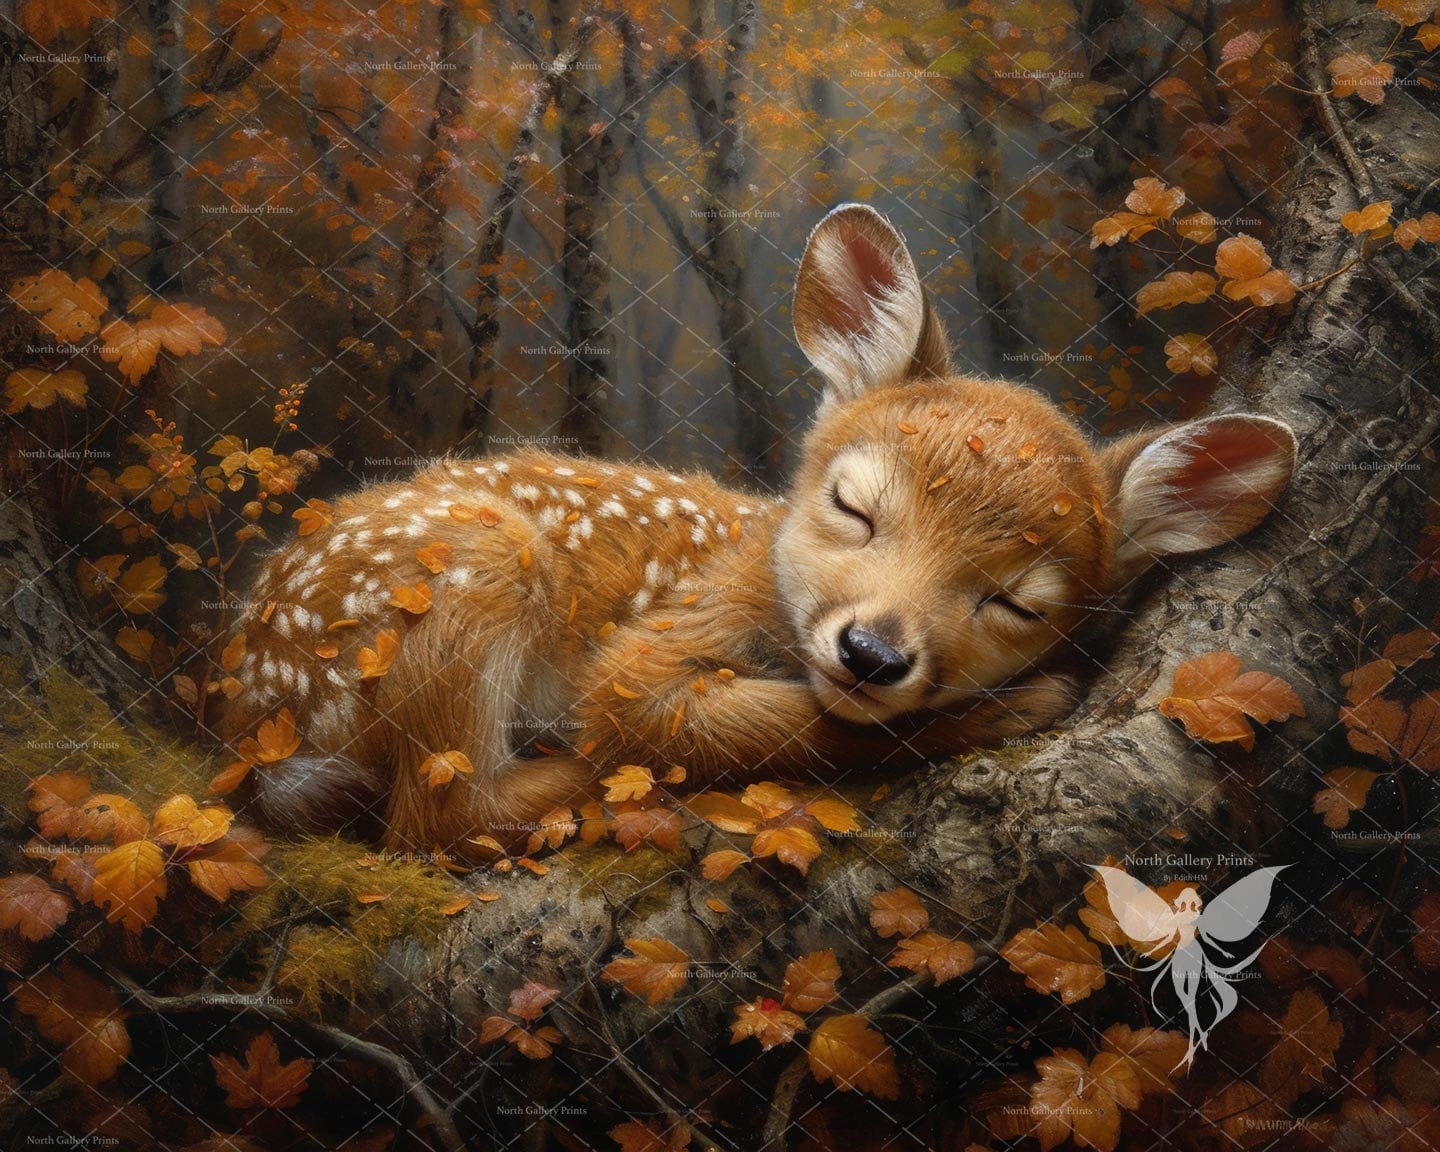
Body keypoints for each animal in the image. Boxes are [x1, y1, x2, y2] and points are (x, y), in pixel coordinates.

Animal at [218, 204, 1296, 860]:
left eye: (1016, 602)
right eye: (855, 506)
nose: (871, 652)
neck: (759, 576)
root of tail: (246, 714)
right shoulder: (647, 655)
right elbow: (742, 725)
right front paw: (1018, 705)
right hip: (477, 564)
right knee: (435, 815)